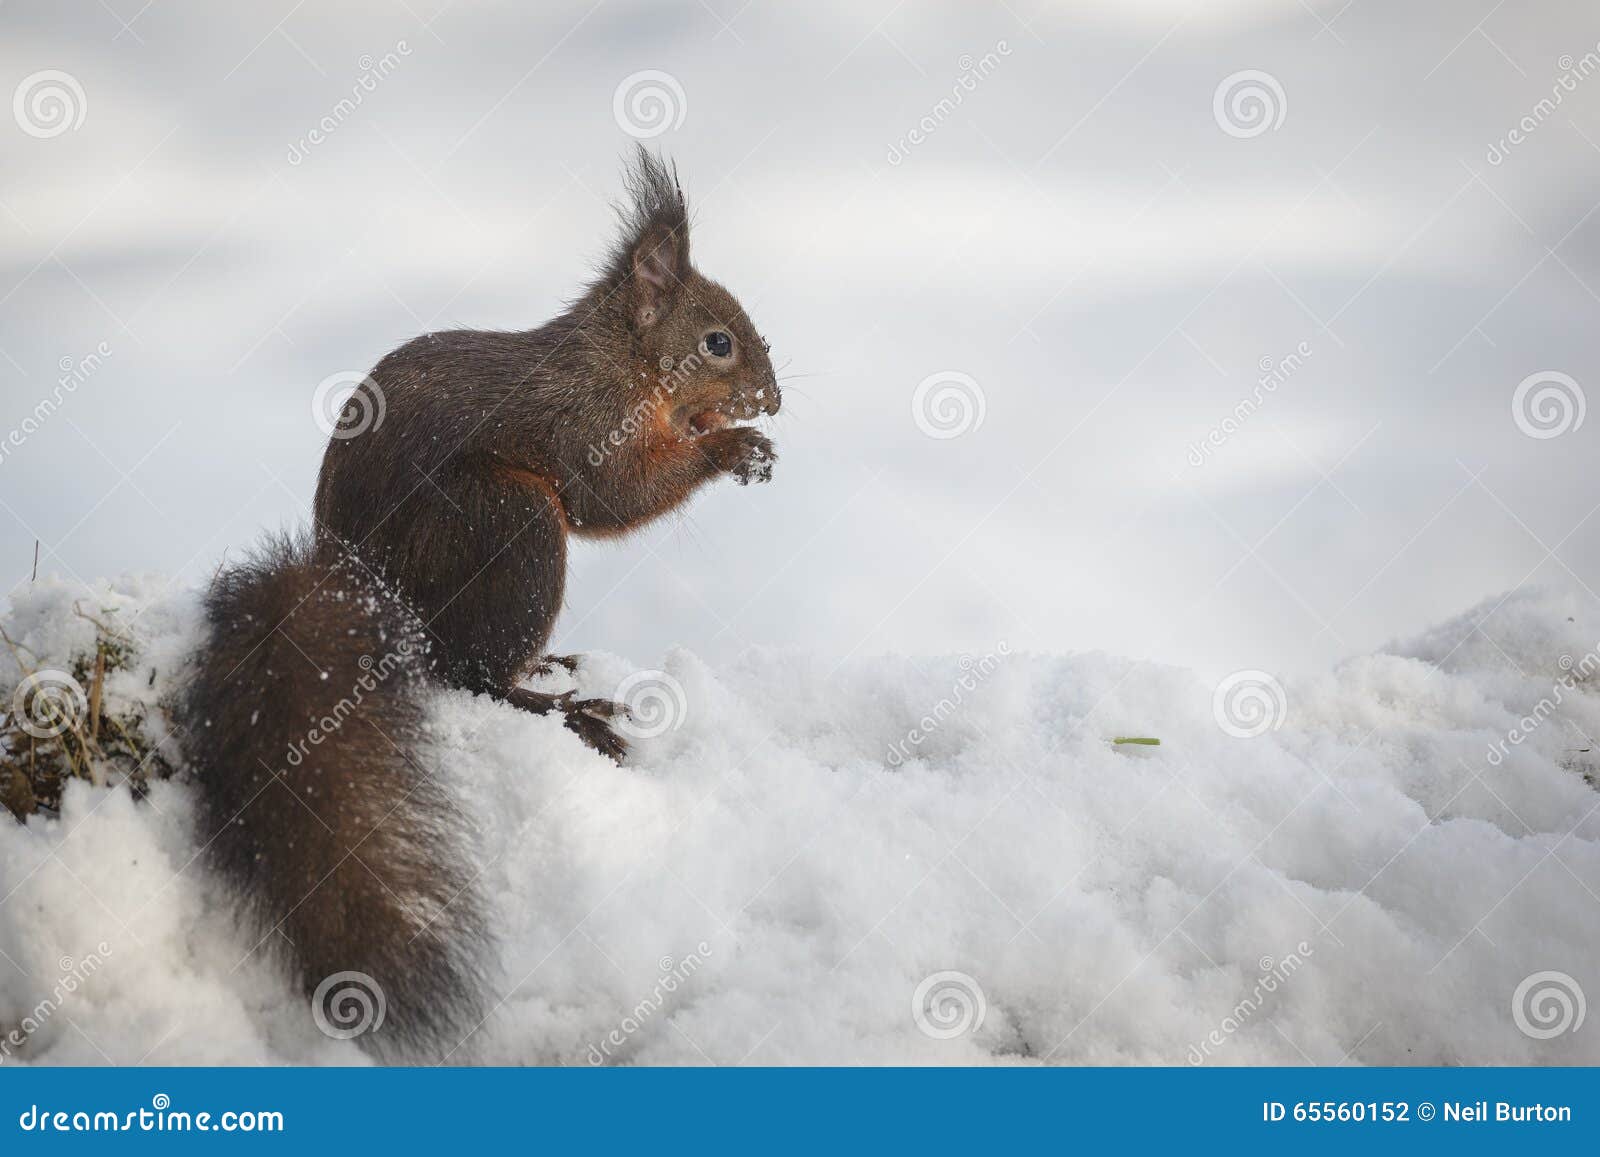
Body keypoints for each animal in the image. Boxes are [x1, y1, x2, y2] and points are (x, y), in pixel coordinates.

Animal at [180, 149, 780, 1057]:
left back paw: (553, 667)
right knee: (464, 674)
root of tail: (363, 587)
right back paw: (566, 709)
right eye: (718, 342)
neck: (618, 363)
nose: (773, 400)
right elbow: (613, 493)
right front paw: (731, 448)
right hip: (512, 524)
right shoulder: (583, 426)